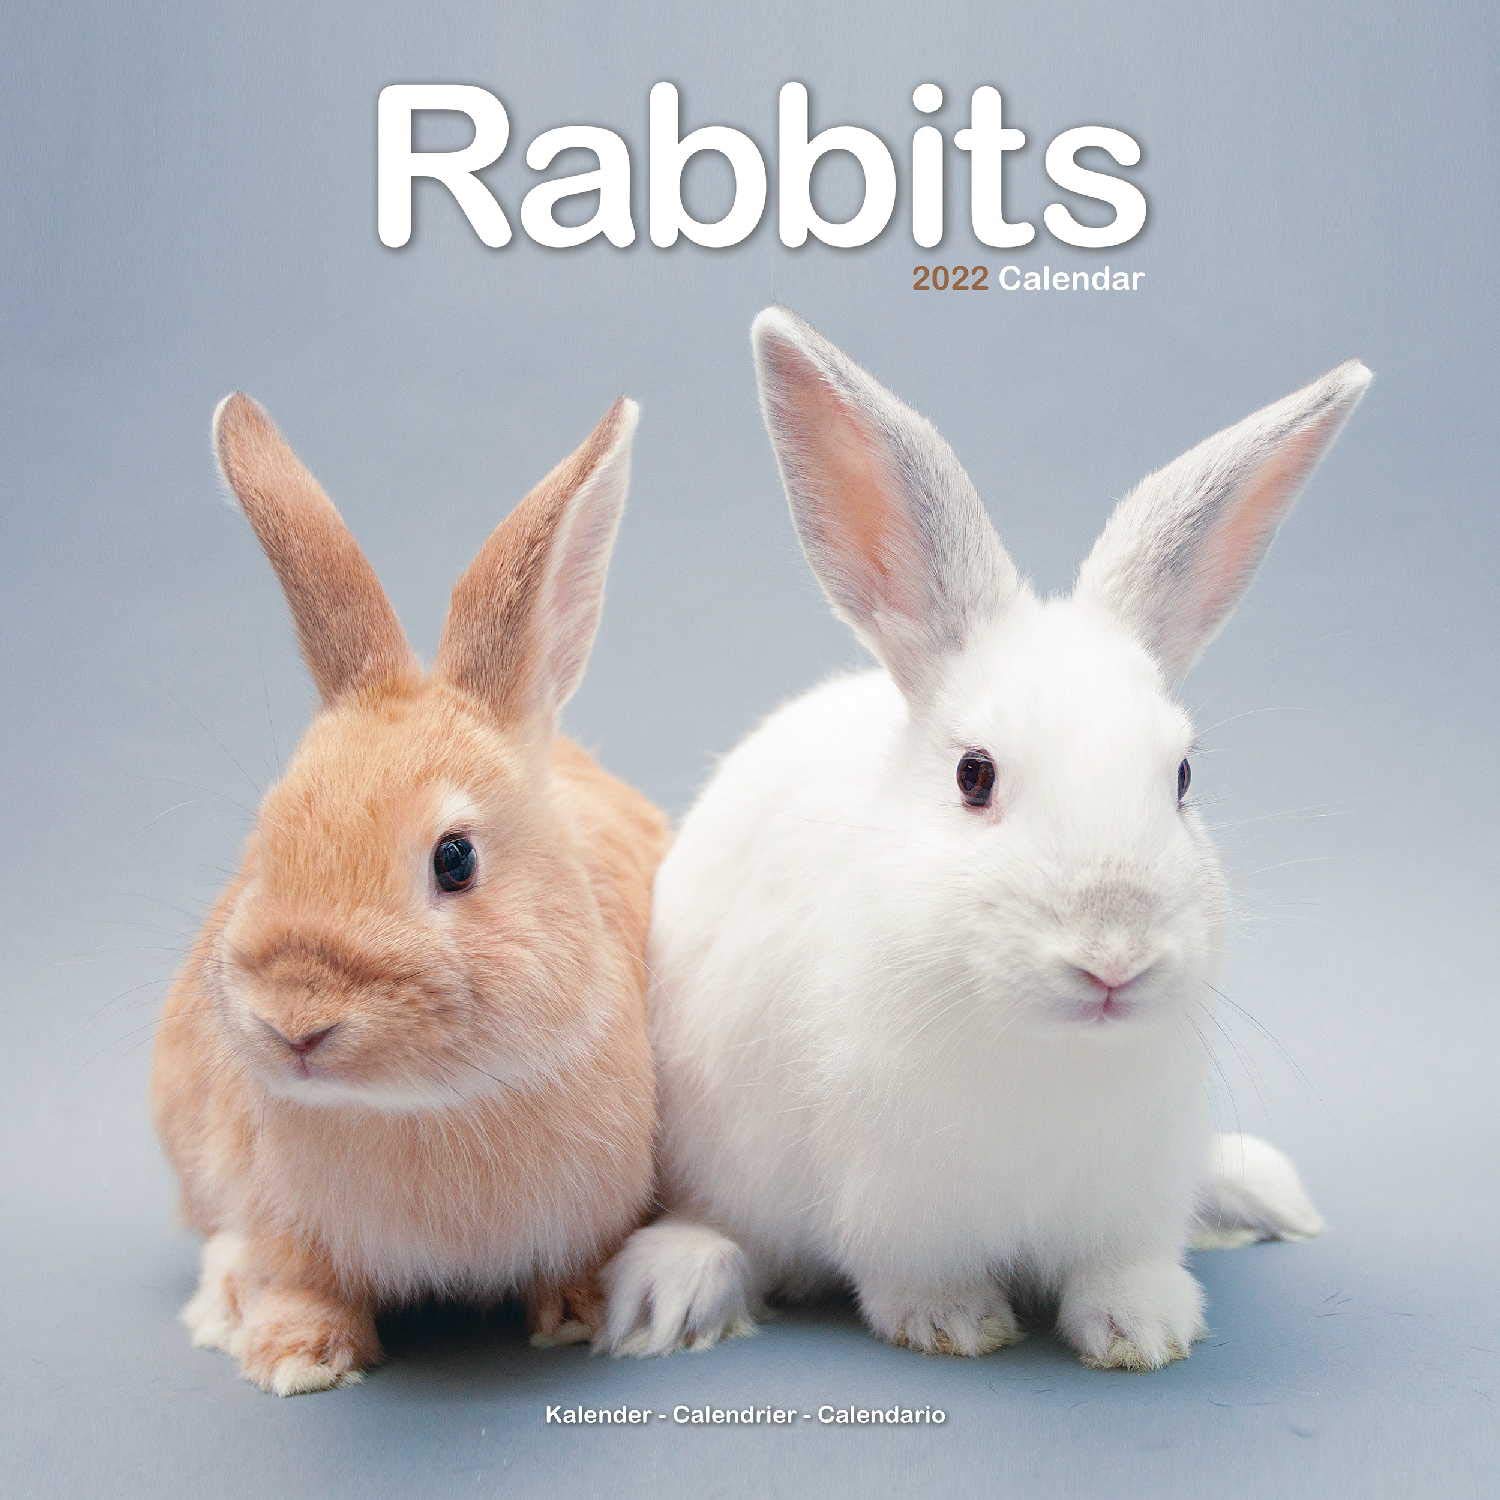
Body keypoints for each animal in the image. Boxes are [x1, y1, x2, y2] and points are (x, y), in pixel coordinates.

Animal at [151, 392, 667, 1395]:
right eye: (265, 837)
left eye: (454, 859)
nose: (295, 1020)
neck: (423, 1105)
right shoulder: (283, 1219)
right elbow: (302, 1278)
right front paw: (297, 1360)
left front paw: (579, 1317)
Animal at [601, 308, 1362, 1370]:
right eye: (975, 776)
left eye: (1181, 779)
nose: (1113, 958)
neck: (1047, 1050)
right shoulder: (892, 1197)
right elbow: (912, 1273)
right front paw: (956, 1323)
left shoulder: (1132, 1192)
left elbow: (1120, 1269)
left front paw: (1145, 1330)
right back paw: (675, 1292)